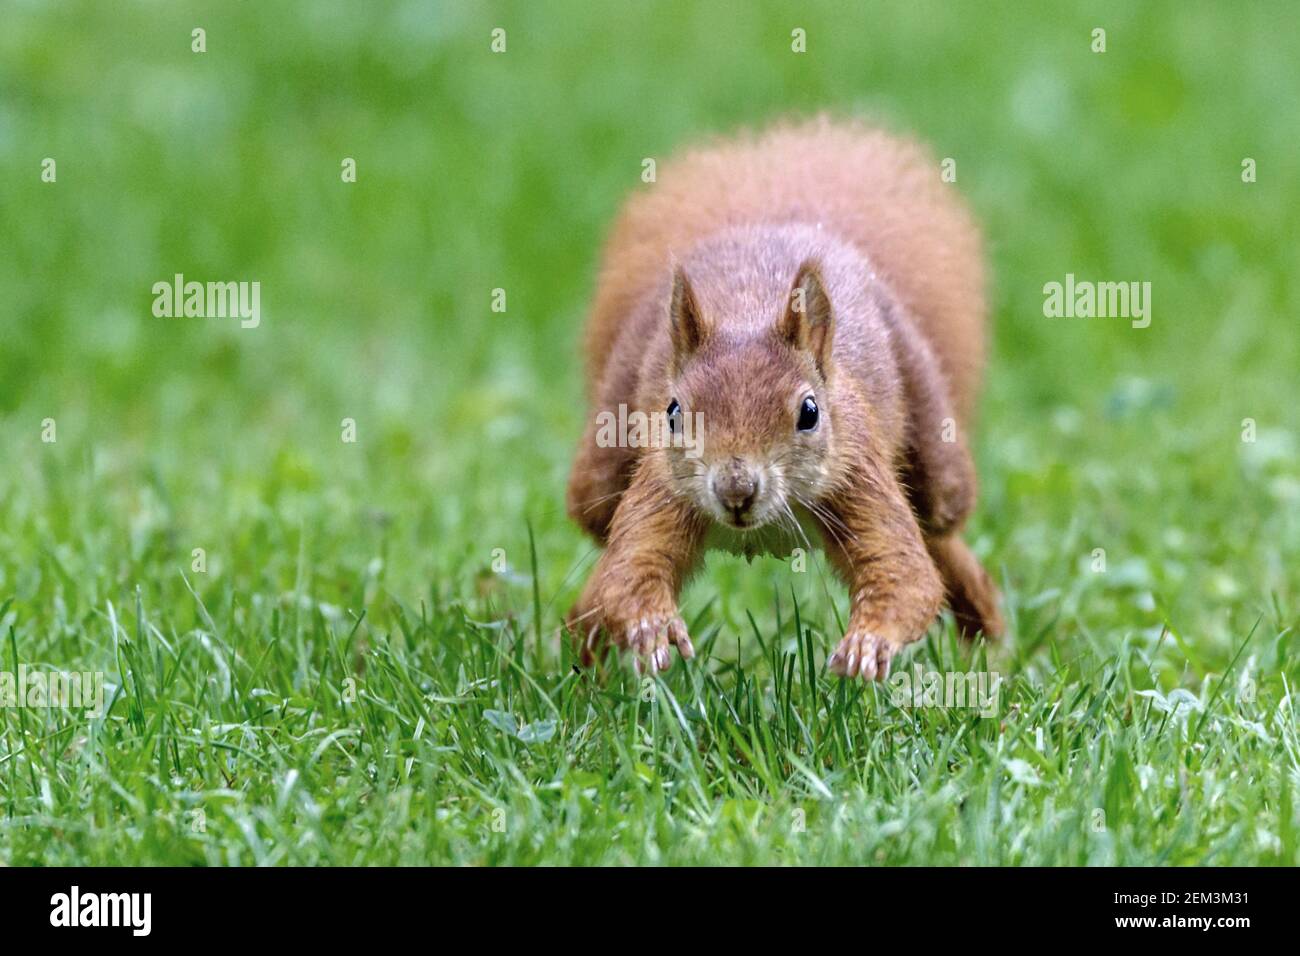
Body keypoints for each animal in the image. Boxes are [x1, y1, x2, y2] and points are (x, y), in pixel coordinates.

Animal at [565, 116, 1003, 681]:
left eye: (810, 412)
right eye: (673, 412)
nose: (735, 490)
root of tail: (779, 225)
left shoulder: (858, 471)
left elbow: (905, 573)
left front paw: (868, 644)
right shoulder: (662, 486)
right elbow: (629, 570)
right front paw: (651, 628)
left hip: (936, 450)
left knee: (940, 532)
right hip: (601, 470)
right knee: (598, 555)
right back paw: (583, 659)